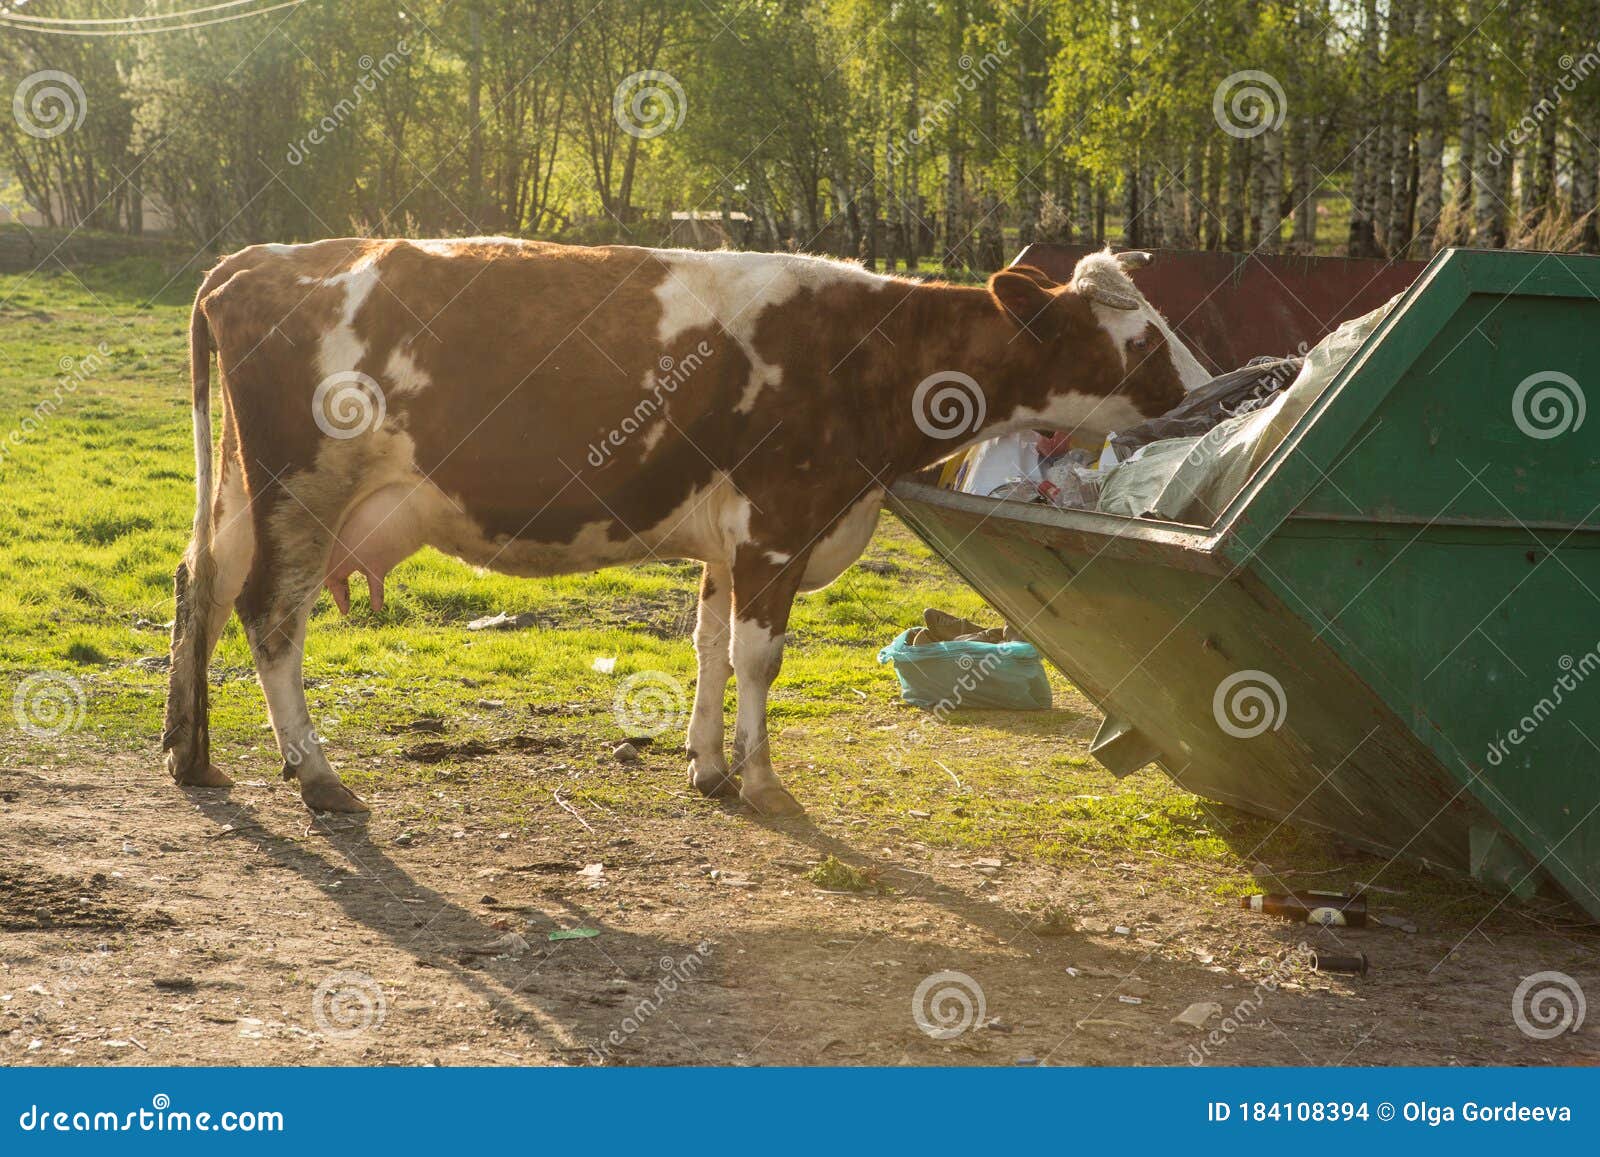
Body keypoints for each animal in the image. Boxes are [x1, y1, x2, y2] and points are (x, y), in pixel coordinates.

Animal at [162, 240, 1208, 818]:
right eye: (1142, 339)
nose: (1203, 392)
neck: (868, 355)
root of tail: (254, 258)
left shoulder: (730, 541)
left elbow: (708, 644)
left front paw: (706, 765)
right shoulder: (779, 524)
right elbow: (756, 657)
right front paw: (761, 778)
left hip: (244, 491)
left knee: (199, 584)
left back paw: (192, 754)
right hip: (302, 487)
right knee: (269, 617)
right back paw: (315, 774)